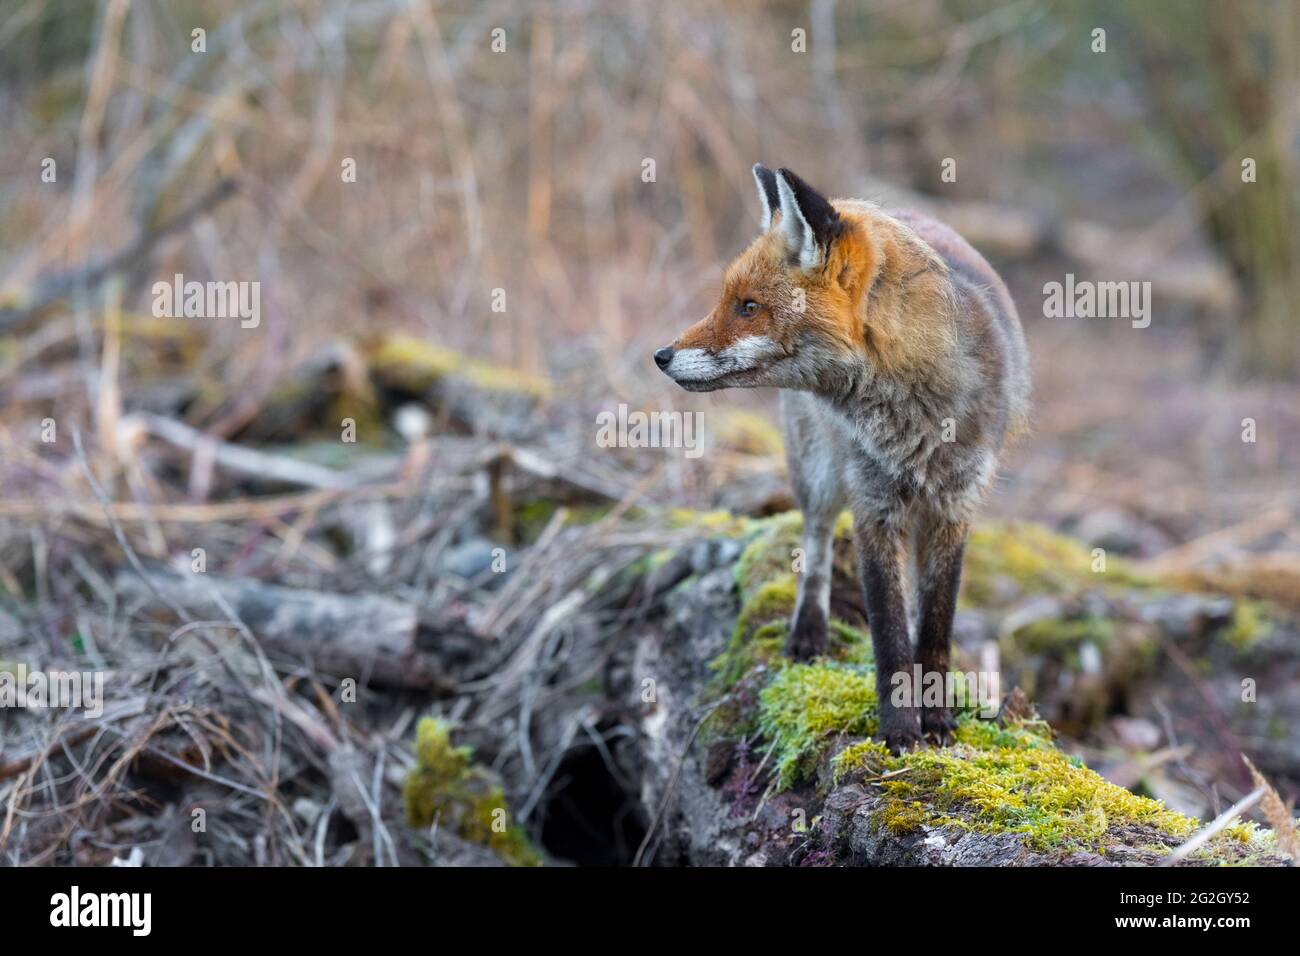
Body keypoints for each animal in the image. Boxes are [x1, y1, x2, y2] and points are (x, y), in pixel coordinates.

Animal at [656, 165, 1030, 753]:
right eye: (729, 300)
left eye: (748, 306)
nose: (661, 356)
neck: (916, 411)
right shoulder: (873, 505)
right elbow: (890, 637)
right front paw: (899, 731)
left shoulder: (954, 507)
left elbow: (935, 629)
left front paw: (938, 719)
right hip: (821, 475)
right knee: (815, 544)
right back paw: (809, 631)